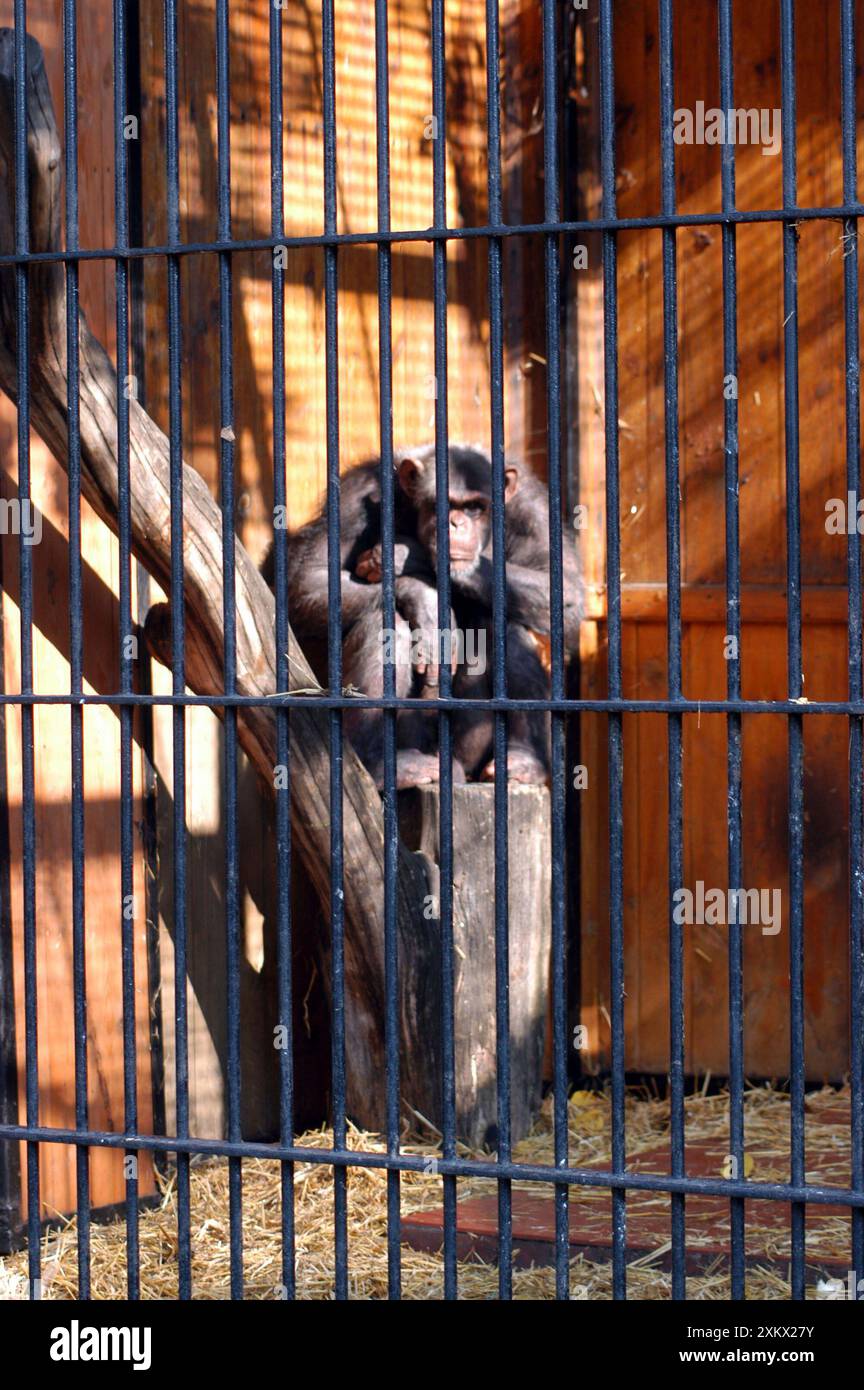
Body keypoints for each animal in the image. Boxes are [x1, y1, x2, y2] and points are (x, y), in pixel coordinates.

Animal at [266, 443, 582, 789]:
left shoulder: (531, 507)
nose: (456, 524)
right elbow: (308, 581)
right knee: (385, 625)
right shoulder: (353, 498)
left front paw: (410, 557)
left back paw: (524, 760)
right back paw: (383, 765)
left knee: (505, 627)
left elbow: (566, 593)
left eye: (475, 508)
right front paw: (425, 598)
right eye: (443, 505)